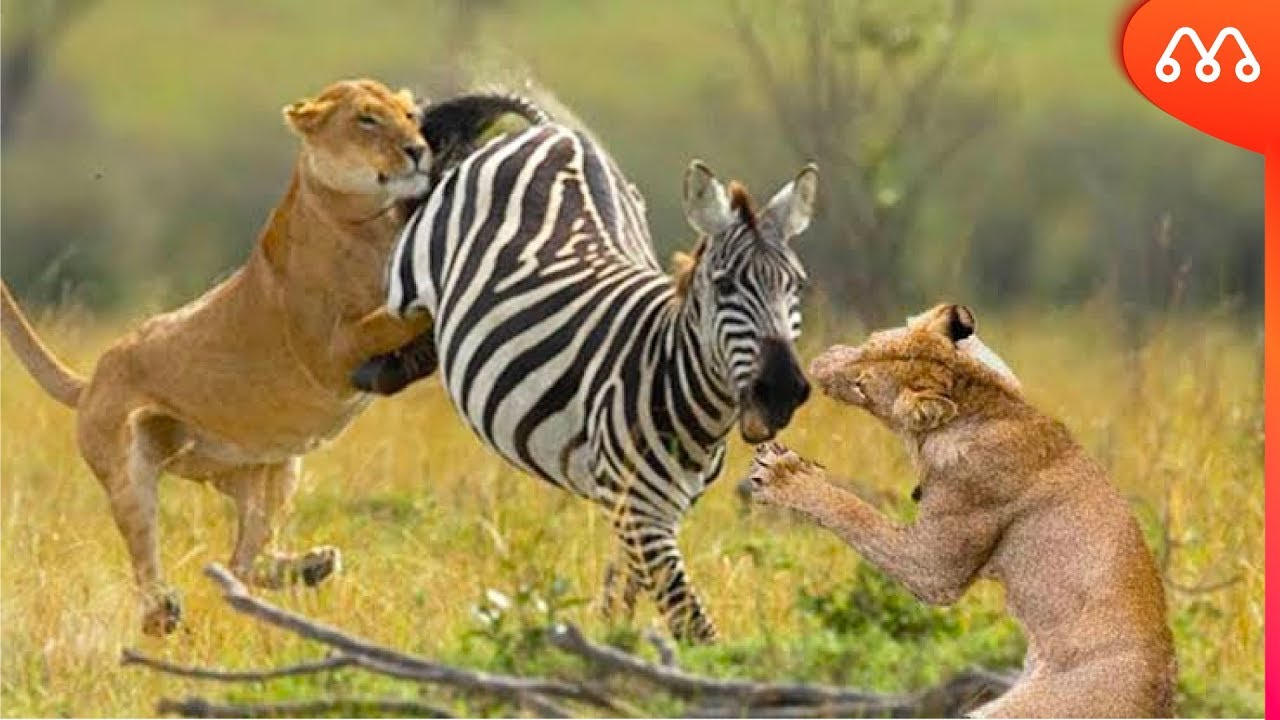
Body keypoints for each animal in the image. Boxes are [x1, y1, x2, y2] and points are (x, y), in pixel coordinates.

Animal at [377, 122, 817, 642]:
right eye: (725, 285)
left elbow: (619, 597)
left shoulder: (653, 508)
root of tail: (554, 131)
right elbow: (692, 625)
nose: (782, 390)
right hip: (404, 277)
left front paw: (609, 643)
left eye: (796, 286)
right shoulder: (641, 511)